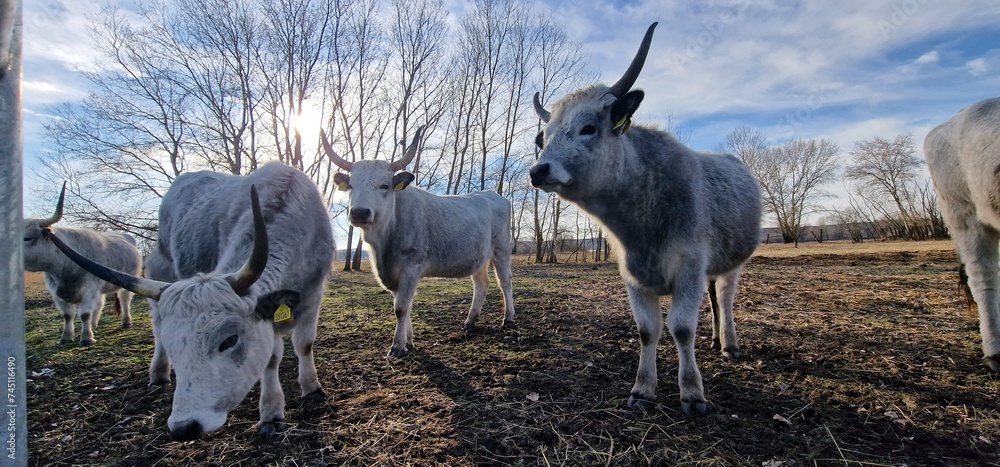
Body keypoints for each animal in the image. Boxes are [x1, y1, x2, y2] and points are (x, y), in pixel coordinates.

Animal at [23, 183, 142, 346]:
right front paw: (66, 337)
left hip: (128, 282)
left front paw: (86, 338)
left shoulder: (89, 290)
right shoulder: (58, 293)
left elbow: (84, 314)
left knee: (124, 301)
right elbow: (67, 315)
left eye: (27, 238)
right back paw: (94, 325)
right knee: (100, 303)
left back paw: (126, 322)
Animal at [44, 162, 335, 441]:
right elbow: (271, 359)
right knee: (157, 330)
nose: (184, 427)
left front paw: (311, 388)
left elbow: (305, 344)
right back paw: (159, 375)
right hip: (160, 273)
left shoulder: (313, 296)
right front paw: (271, 414)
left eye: (229, 340)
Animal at [321, 127, 515, 358]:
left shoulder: (410, 267)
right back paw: (470, 322)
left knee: (505, 282)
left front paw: (397, 346)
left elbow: (401, 308)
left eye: (384, 186)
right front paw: (409, 340)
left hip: (501, 251)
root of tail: (492, 194)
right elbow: (403, 306)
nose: (359, 212)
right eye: (350, 185)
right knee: (481, 284)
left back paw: (508, 319)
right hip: (479, 256)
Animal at [529, 22, 762, 415]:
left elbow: (681, 328)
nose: (538, 170)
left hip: (733, 262)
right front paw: (642, 390)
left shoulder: (689, 266)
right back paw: (716, 341)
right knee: (715, 298)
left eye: (589, 128)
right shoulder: (632, 274)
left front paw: (692, 393)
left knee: (725, 297)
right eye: (542, 138)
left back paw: (729, 343)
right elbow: (647, 330)